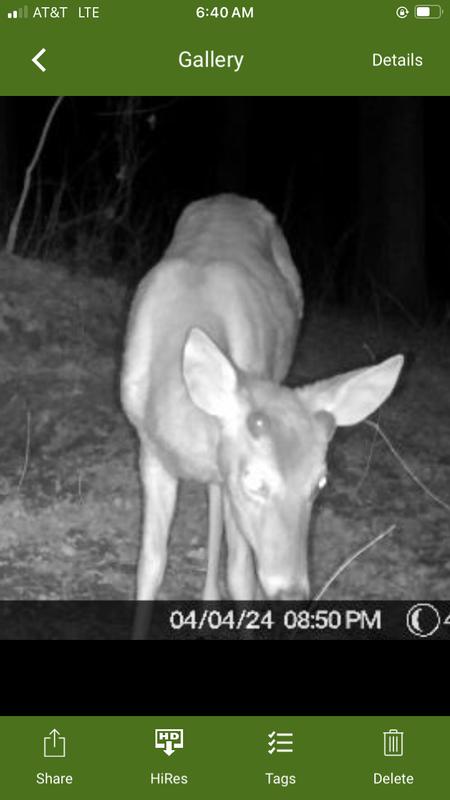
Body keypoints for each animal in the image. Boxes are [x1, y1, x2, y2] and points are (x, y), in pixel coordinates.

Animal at [121, 194, 404, 604]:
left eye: (320, 483)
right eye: (255, 481)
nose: (292, 592)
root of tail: (233, 199)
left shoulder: (223, 471)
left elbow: (240, 578)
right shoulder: (152, 452)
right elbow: (150, 566)